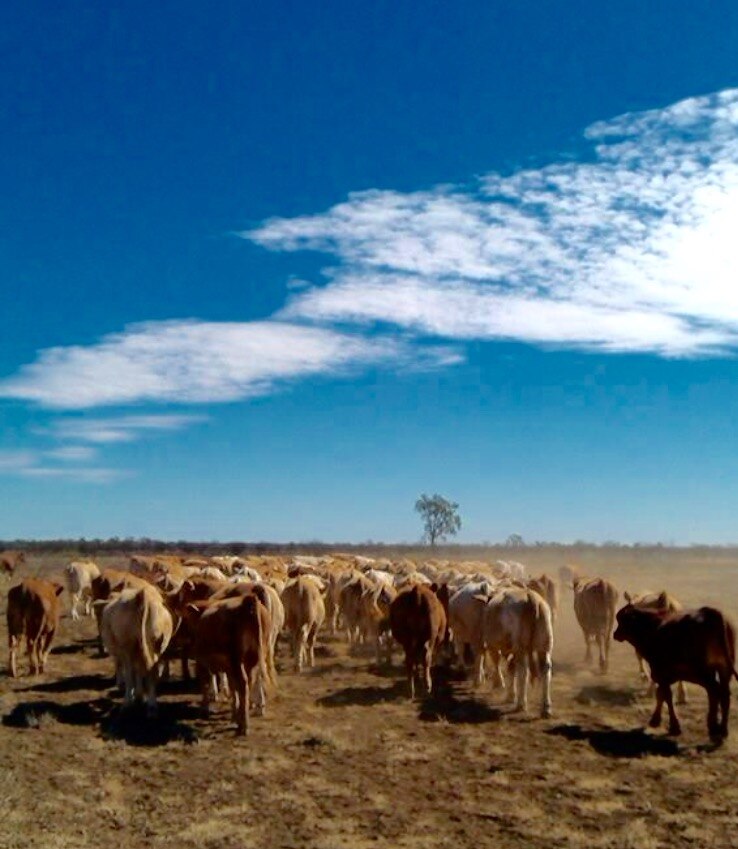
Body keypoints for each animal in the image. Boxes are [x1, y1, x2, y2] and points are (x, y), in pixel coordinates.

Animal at [100, 583, 174, 716]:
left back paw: (127, 703)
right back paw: (151, 706)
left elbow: (126, 669)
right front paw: (139, 695)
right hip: (157, 644)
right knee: (151, 671)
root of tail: (142, 595)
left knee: (130, 673)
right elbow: (139, 671)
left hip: (127, 646)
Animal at [186, 592, 272, 735]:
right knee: (248, 683)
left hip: (237, 659)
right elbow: (233, 688)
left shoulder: (202, 662)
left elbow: (205, 685)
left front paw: (204, 710)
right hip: (252, 659)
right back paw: (242, 719)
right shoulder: (228, 668)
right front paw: (234, 716)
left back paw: (244, 726)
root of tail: (248, 600)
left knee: (243, 684)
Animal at [480, 586, 553, 717]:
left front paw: (502, 688)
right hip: (544, 644)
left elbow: (499, 665)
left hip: (521, 646)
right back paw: (546, 708)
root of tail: (531, 597)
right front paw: (510, 695)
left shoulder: (493, 646)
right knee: (545, 669)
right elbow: (511, 668)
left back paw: (521, 704)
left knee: (523, 671)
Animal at [613, 603, 738, 740]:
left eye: (622, 620)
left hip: (703, 673)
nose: (615, 634)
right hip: (724, 669)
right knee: (724, 694)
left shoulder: (660, 672)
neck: (654, 627)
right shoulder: (664, 676)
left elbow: (666, 696)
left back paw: (714, 727)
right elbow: (661, 695)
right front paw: (656, 720)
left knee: (714, 691)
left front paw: (673, 726)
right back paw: (723, 729)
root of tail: (710, 613)